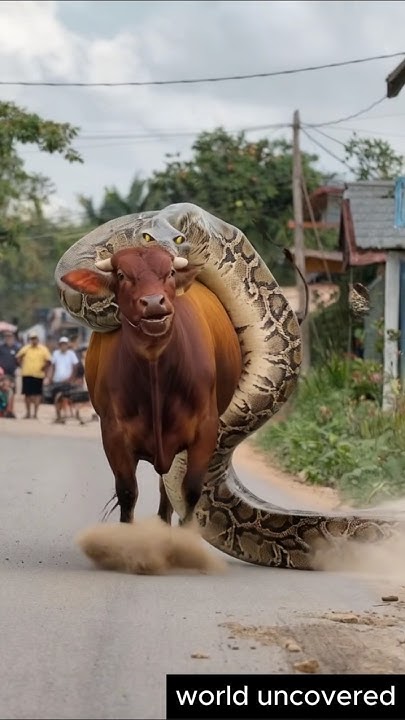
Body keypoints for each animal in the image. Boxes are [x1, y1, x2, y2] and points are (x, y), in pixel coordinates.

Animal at [61, 245, 242, 526]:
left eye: (170, 273)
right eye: (122, 275)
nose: (155, 302)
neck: (155, 366)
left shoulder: (206, 427)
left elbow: (190, 491)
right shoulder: (114, 434)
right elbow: (127, 493)